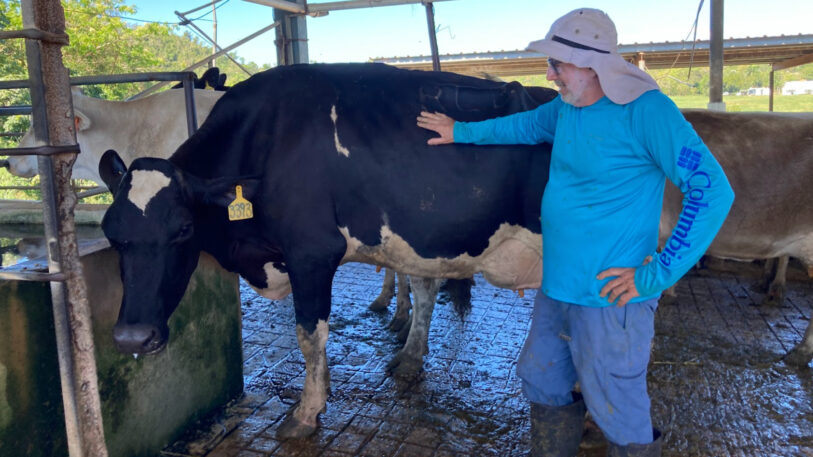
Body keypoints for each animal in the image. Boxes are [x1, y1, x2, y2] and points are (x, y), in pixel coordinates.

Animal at [98, 63, 554, 438]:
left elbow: (310, 335)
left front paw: (306, 412)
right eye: (111, 233)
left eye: (183, 229)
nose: (133, 337)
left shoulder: (312, 252)